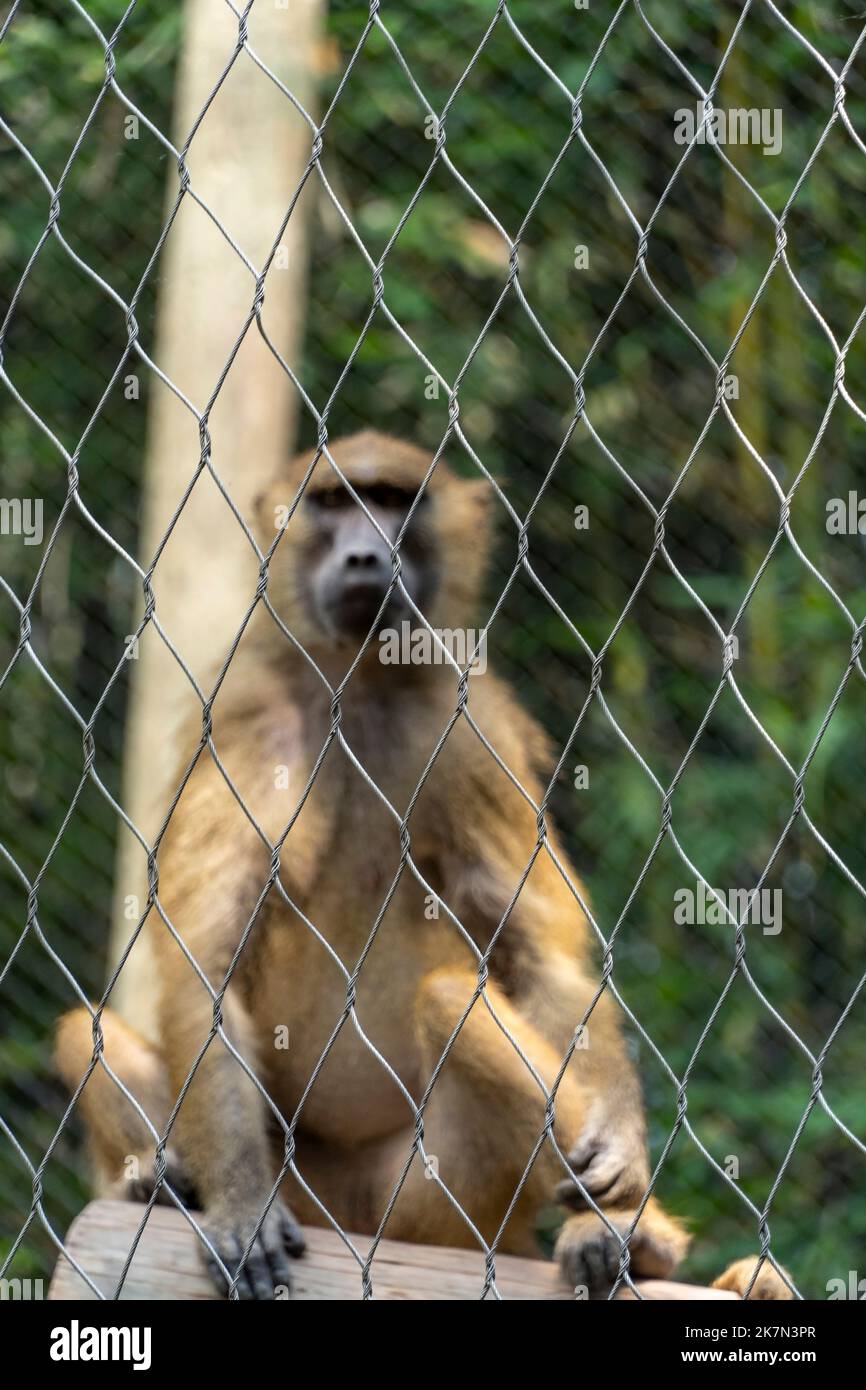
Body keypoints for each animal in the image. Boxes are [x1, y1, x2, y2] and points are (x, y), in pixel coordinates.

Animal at [56, 431, 793, 1300]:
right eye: (334, 502)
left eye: (394, 501)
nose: (366, 557)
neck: (360, 683)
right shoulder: (242, 720)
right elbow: (202, 963)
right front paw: (237, 1203)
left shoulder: (471, 732)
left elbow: (539, 955)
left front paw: (621, 1156)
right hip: (316, 1186)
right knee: (84, 1031)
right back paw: (166, 1181)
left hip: (434, 1202)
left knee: (449, 998)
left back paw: (633, 1238)